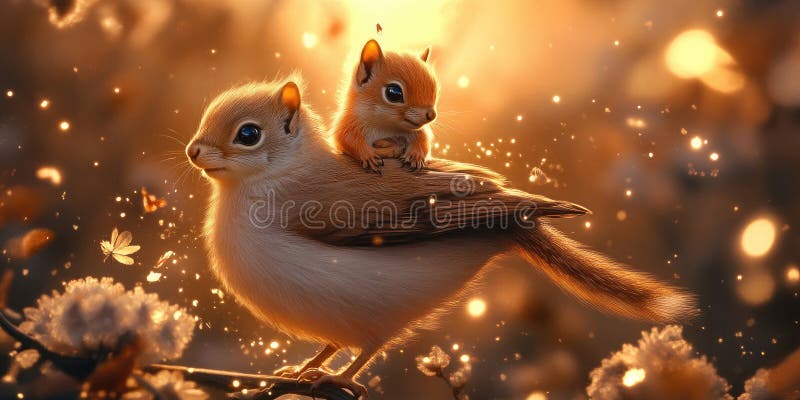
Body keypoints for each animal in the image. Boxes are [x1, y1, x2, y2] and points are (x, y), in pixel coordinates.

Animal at [186, 77, 696, 399]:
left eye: (248, 134)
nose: (193, 151)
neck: (272, 179)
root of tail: (510, 217)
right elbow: (327, 345)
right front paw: (305, 368)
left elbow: (358, 350)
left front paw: (330, 379)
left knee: (373, 344)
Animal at [332, 39, 438, 172]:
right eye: (394, 93)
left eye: (436, 91)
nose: (432, 115)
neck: (386, 126)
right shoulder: (348, 124)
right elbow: (347, 139)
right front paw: (368, 155)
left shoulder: (418, 131)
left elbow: (423, 139)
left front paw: (416, 156)